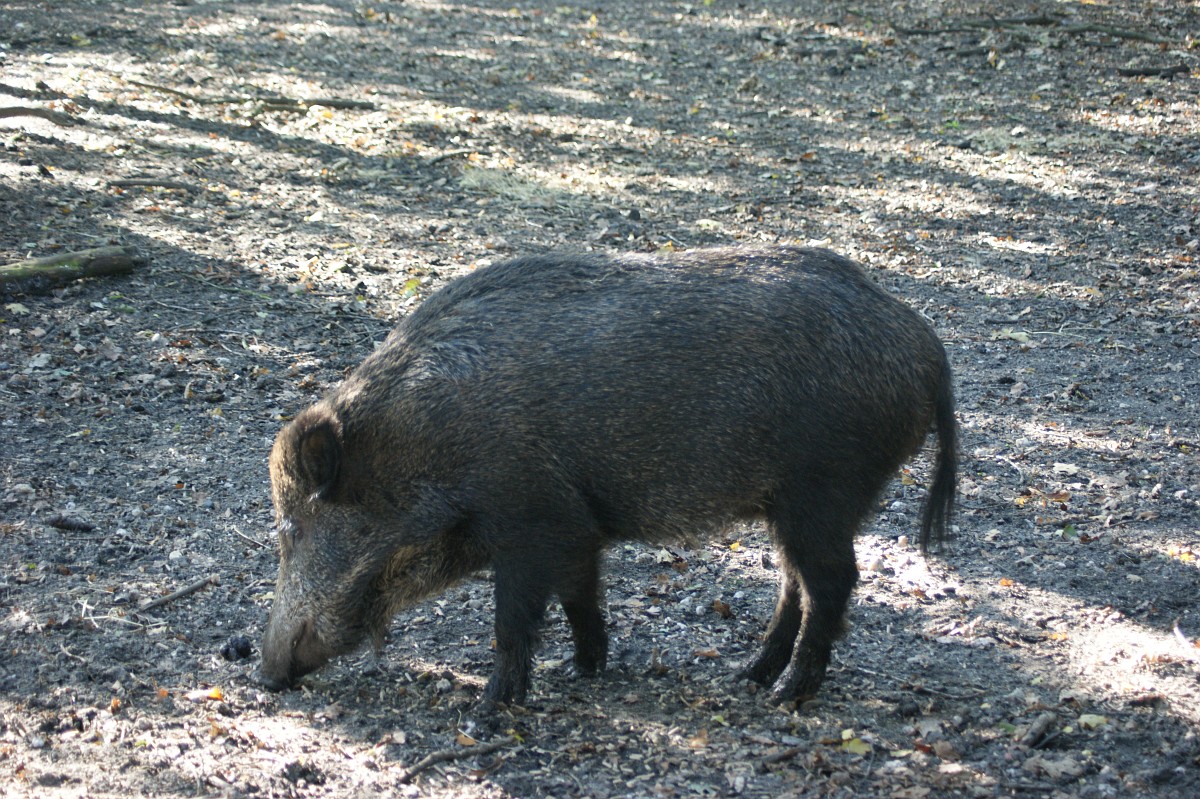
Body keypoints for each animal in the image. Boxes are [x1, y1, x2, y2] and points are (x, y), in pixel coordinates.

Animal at [260, 245, 957, 709]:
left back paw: (785, 695)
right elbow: (580, 598)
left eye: (292, 528)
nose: (266, 673)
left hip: (823, 492)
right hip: (793, 505)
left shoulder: (530, 519)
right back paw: (749, 676)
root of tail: (926, 344)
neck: (423, 446)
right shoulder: (576, 527)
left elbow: (514, 620)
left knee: (833, 583)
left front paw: (491, 710)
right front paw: (585, 671)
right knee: (795, 585)